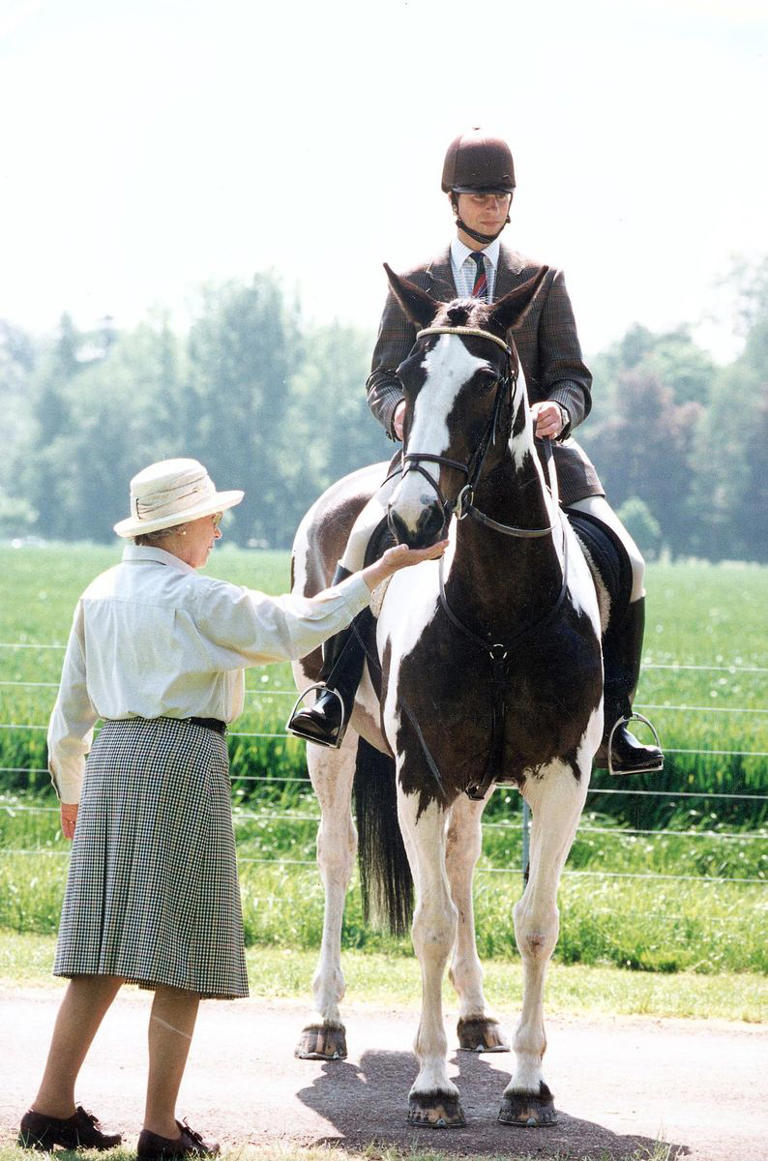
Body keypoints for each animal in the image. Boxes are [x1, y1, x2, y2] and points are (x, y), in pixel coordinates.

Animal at [289, 265, 604, 1128]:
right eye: (408, 376)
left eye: (491, 379)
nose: (411, 516)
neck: (498, 609)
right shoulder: (421, 773)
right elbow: (428, 924)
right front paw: (432, 1085)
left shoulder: (560, 779)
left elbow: (534, 922)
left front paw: (528, 1083)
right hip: (331, 744)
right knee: (338, 857)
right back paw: (325, 1020)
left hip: (473, 783)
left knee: (461, 868)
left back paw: (476, 1014)